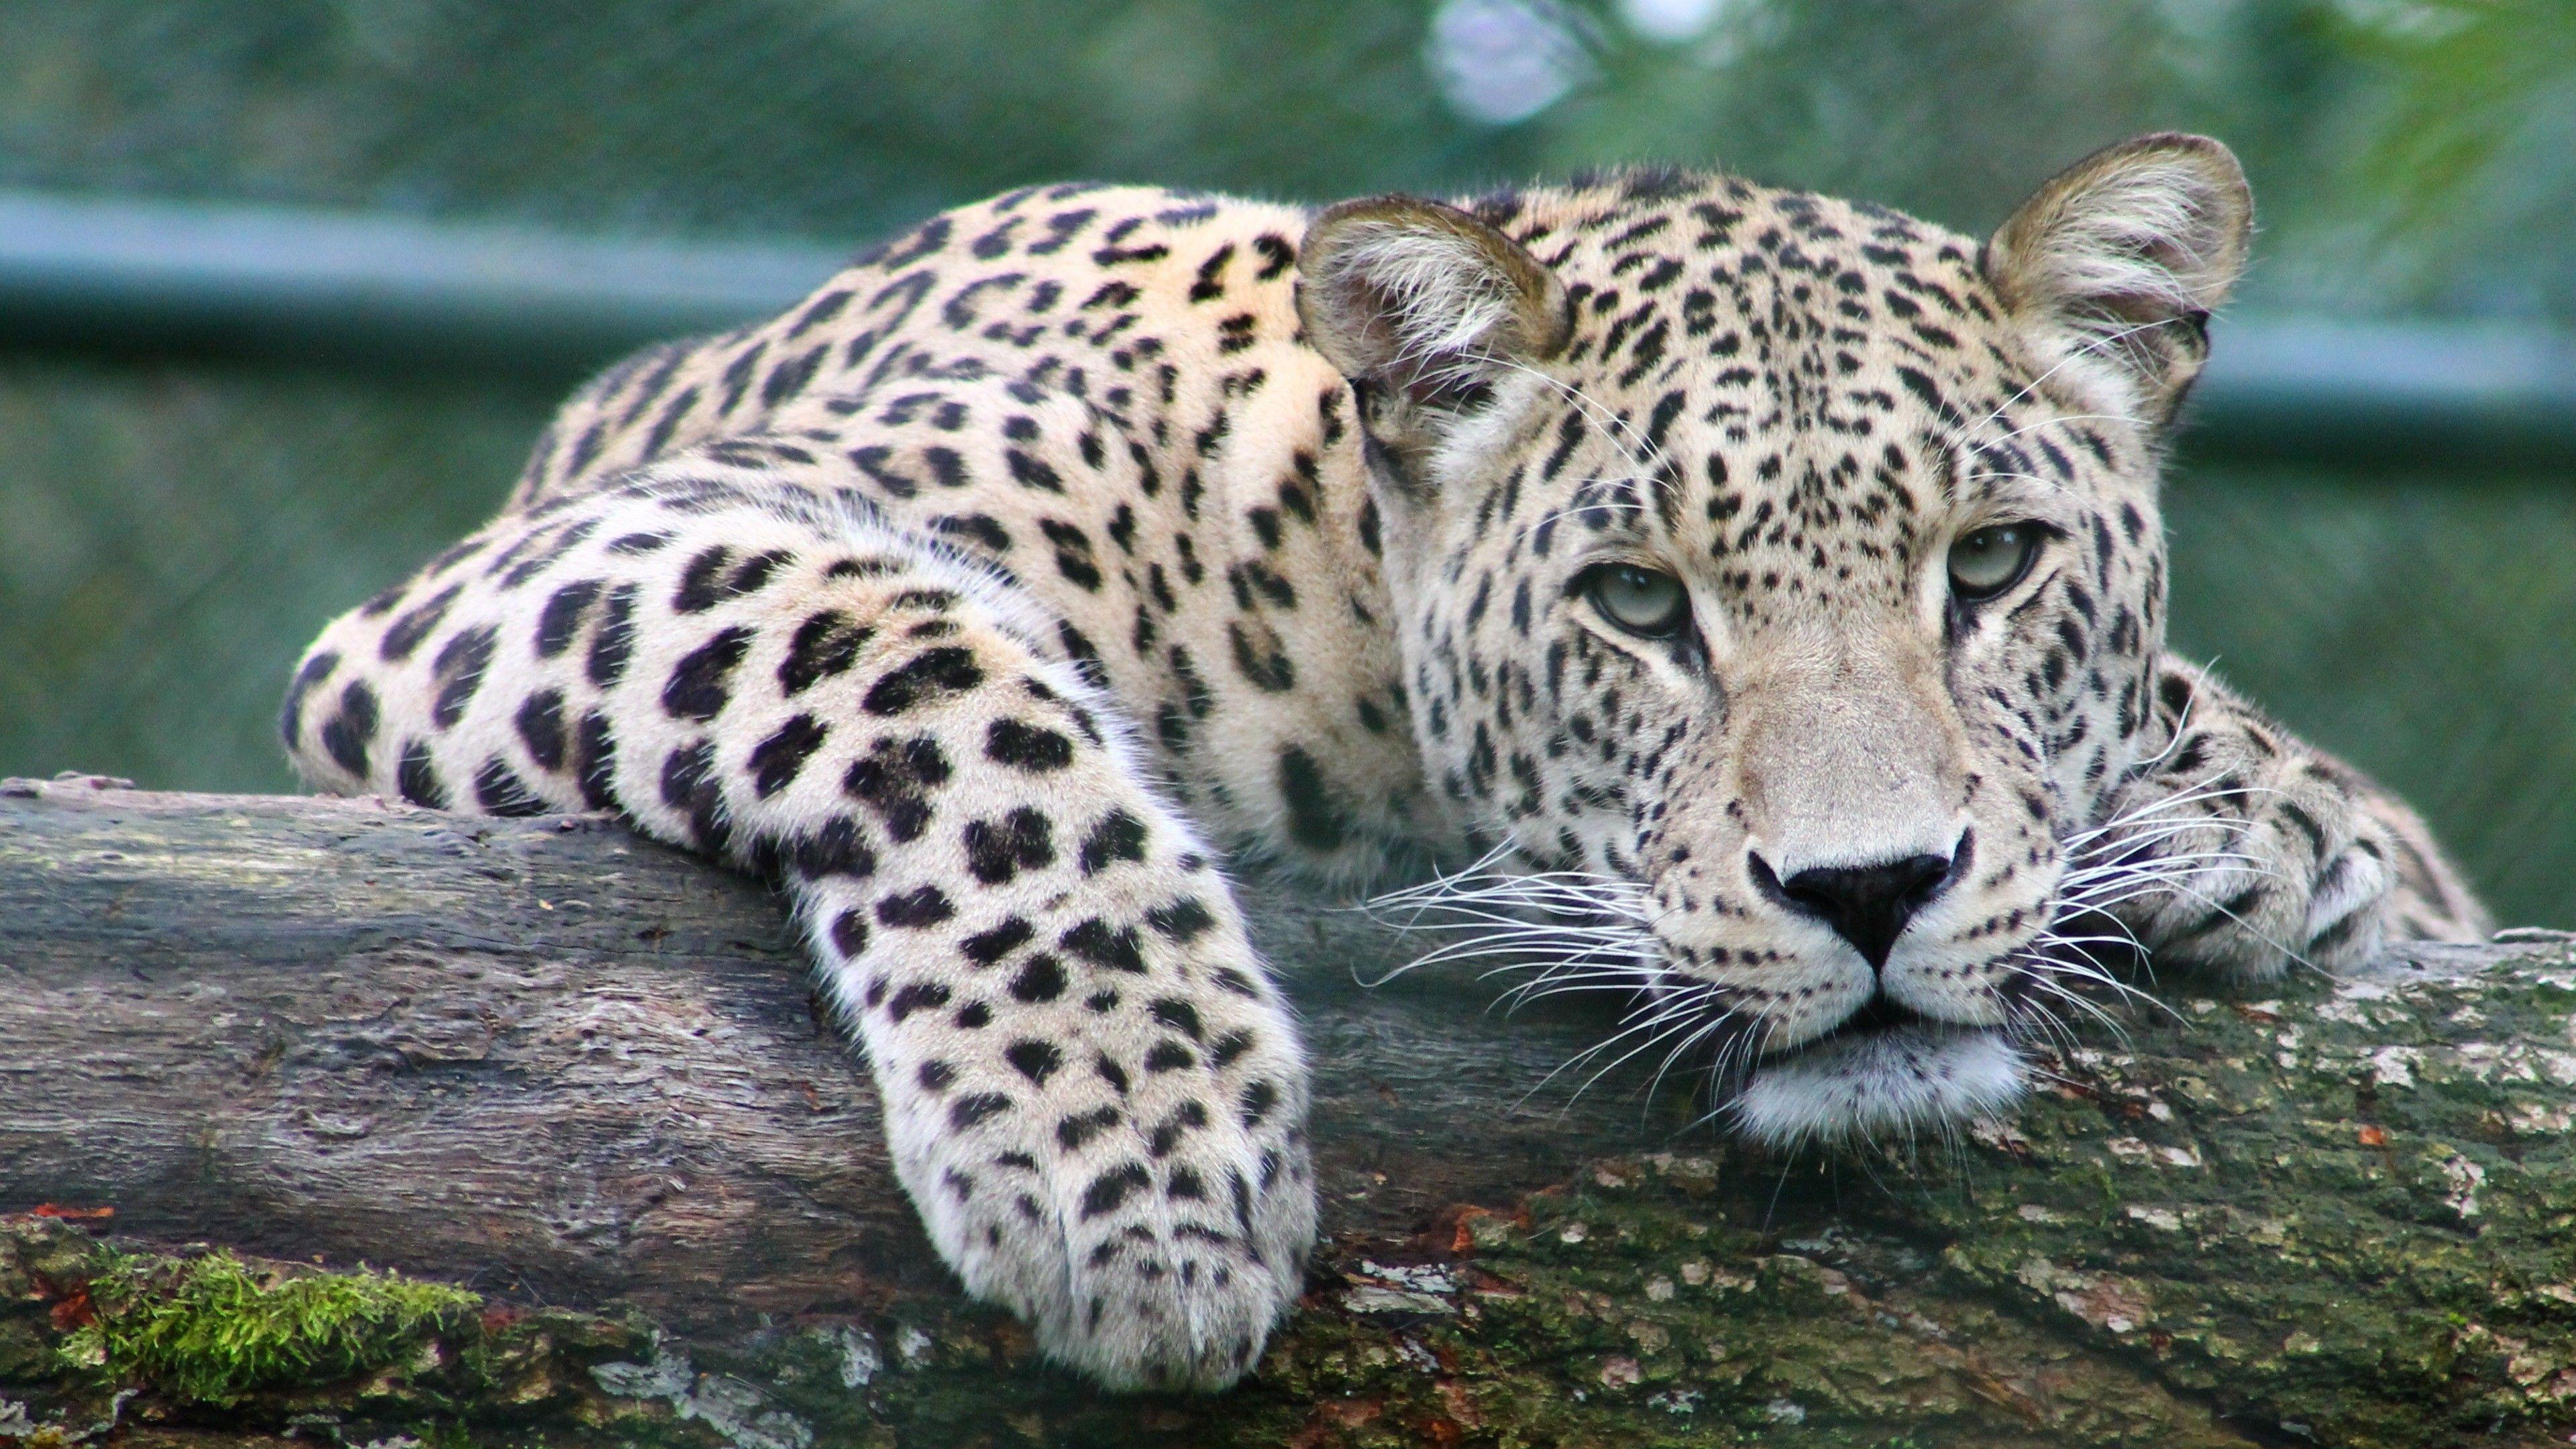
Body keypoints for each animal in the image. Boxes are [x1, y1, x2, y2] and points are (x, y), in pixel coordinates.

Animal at [282, 131, 2492, 1393]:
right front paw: (1133, 1158)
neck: (1331, 593)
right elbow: (923, 671)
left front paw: (2253, 810)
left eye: (1994, 565)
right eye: (1634, 603)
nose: (1866, 893)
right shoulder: (557, 565)